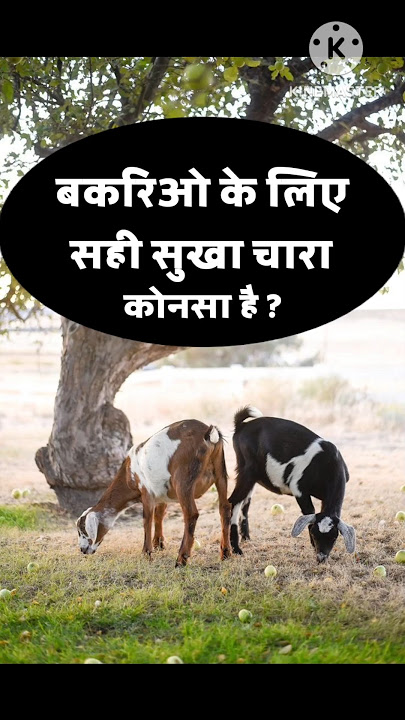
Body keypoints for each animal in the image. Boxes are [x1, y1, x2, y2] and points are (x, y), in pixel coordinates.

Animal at [76, 419, 231, 567]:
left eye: (82, 530)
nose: (83, 550)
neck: (128, 473)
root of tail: (208, 434)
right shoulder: (161, 494)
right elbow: (159, 514)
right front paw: (158, 544)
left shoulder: (146, 491)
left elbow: (147, 519)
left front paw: (146, 553)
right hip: (221, 472)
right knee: (224, 507)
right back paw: (225, 553)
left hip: (182, 480)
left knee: (191, 514)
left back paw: (181, 559)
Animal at [228, 406, 355, 563]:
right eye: (314, 534)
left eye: (334, 537)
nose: (321, 557)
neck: (327, 463)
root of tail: (241, 426)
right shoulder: (299, 489)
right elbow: (309, 512)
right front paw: (312, 545)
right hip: (247, 471)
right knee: (234, 500)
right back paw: (236, 548)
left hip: (252, 477)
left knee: (245, 501)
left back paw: (246, 537)